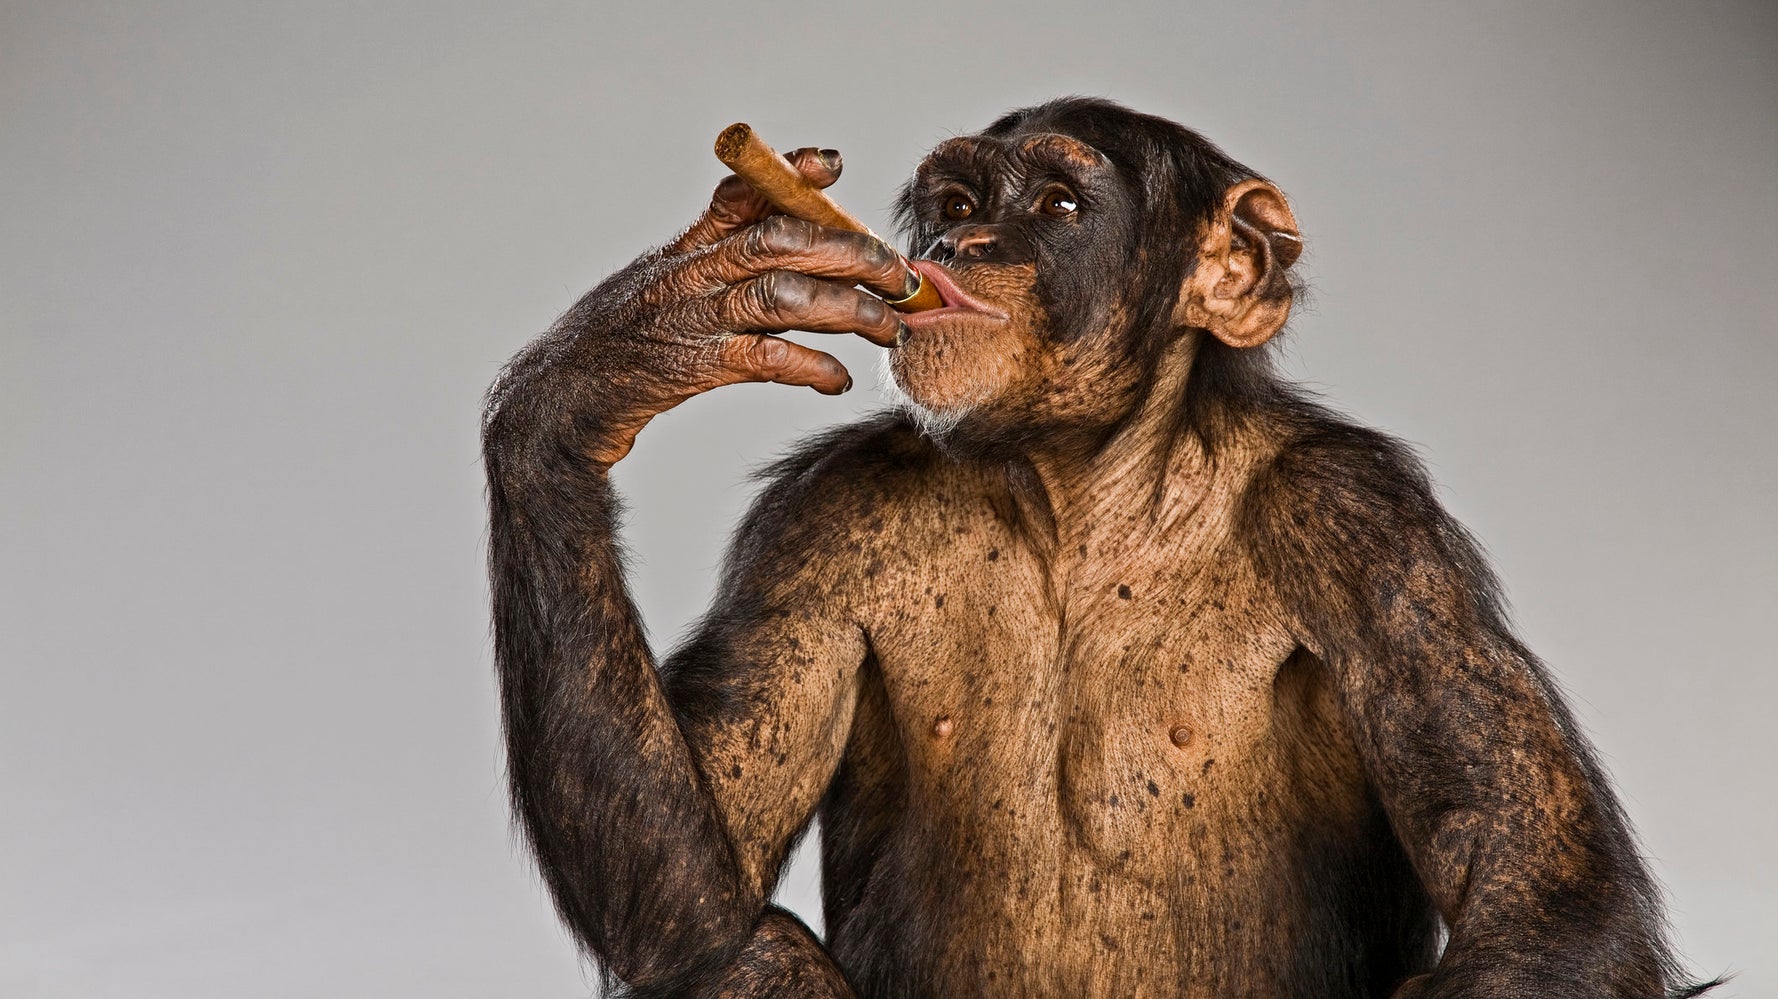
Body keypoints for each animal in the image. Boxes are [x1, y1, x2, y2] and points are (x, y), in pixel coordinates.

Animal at [480, 98, 1716, 998]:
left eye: (1060, 201)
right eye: (956, 199)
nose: (962, 242)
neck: (1083, 489)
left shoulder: (1371, 536)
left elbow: (1545, 905)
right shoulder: (815, 531)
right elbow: (698, 905)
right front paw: (630, 348)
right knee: (748, 952)